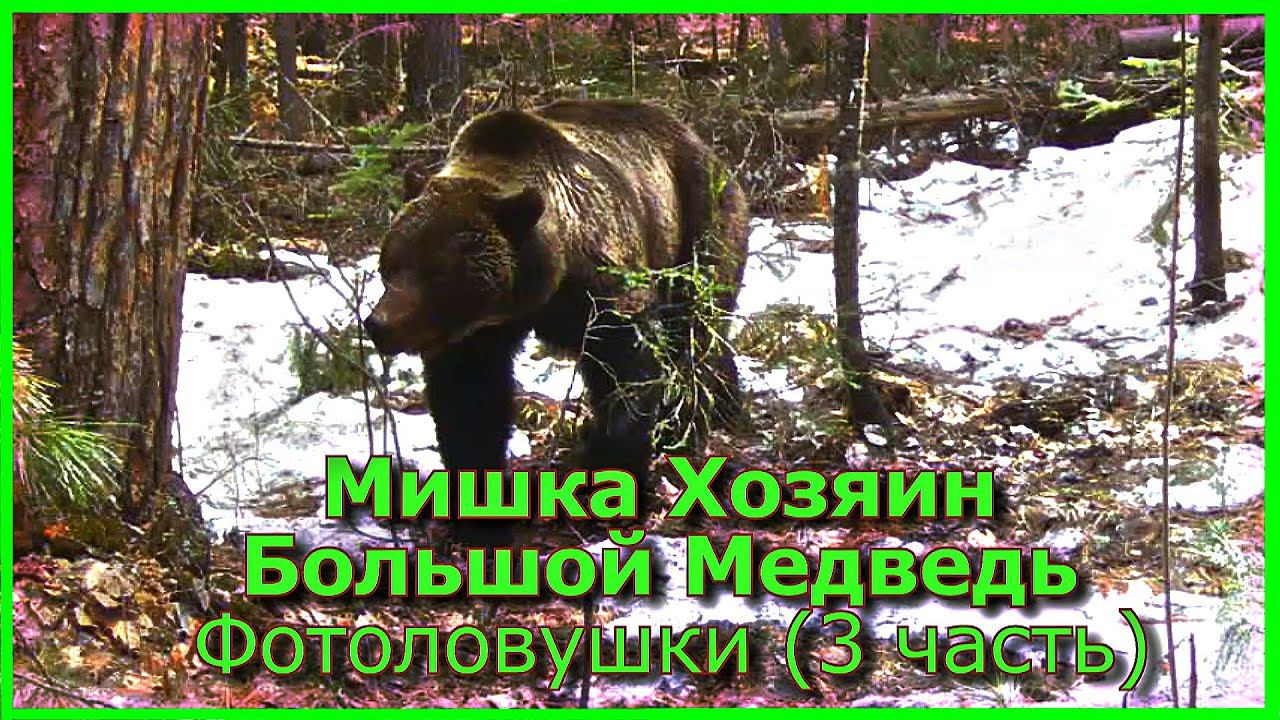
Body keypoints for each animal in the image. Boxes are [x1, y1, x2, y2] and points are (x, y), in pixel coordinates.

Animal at [363, 99, 749, 547]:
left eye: (437, 274)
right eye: (390, 264)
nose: (379, 324)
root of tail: (706, 147)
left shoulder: (602, 290)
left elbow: (627, 372)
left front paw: (609, 479)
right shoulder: (478, 333)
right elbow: (470, 401)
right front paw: (479, 518)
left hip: (698, 232)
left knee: (694, 334)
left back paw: (692, 423)